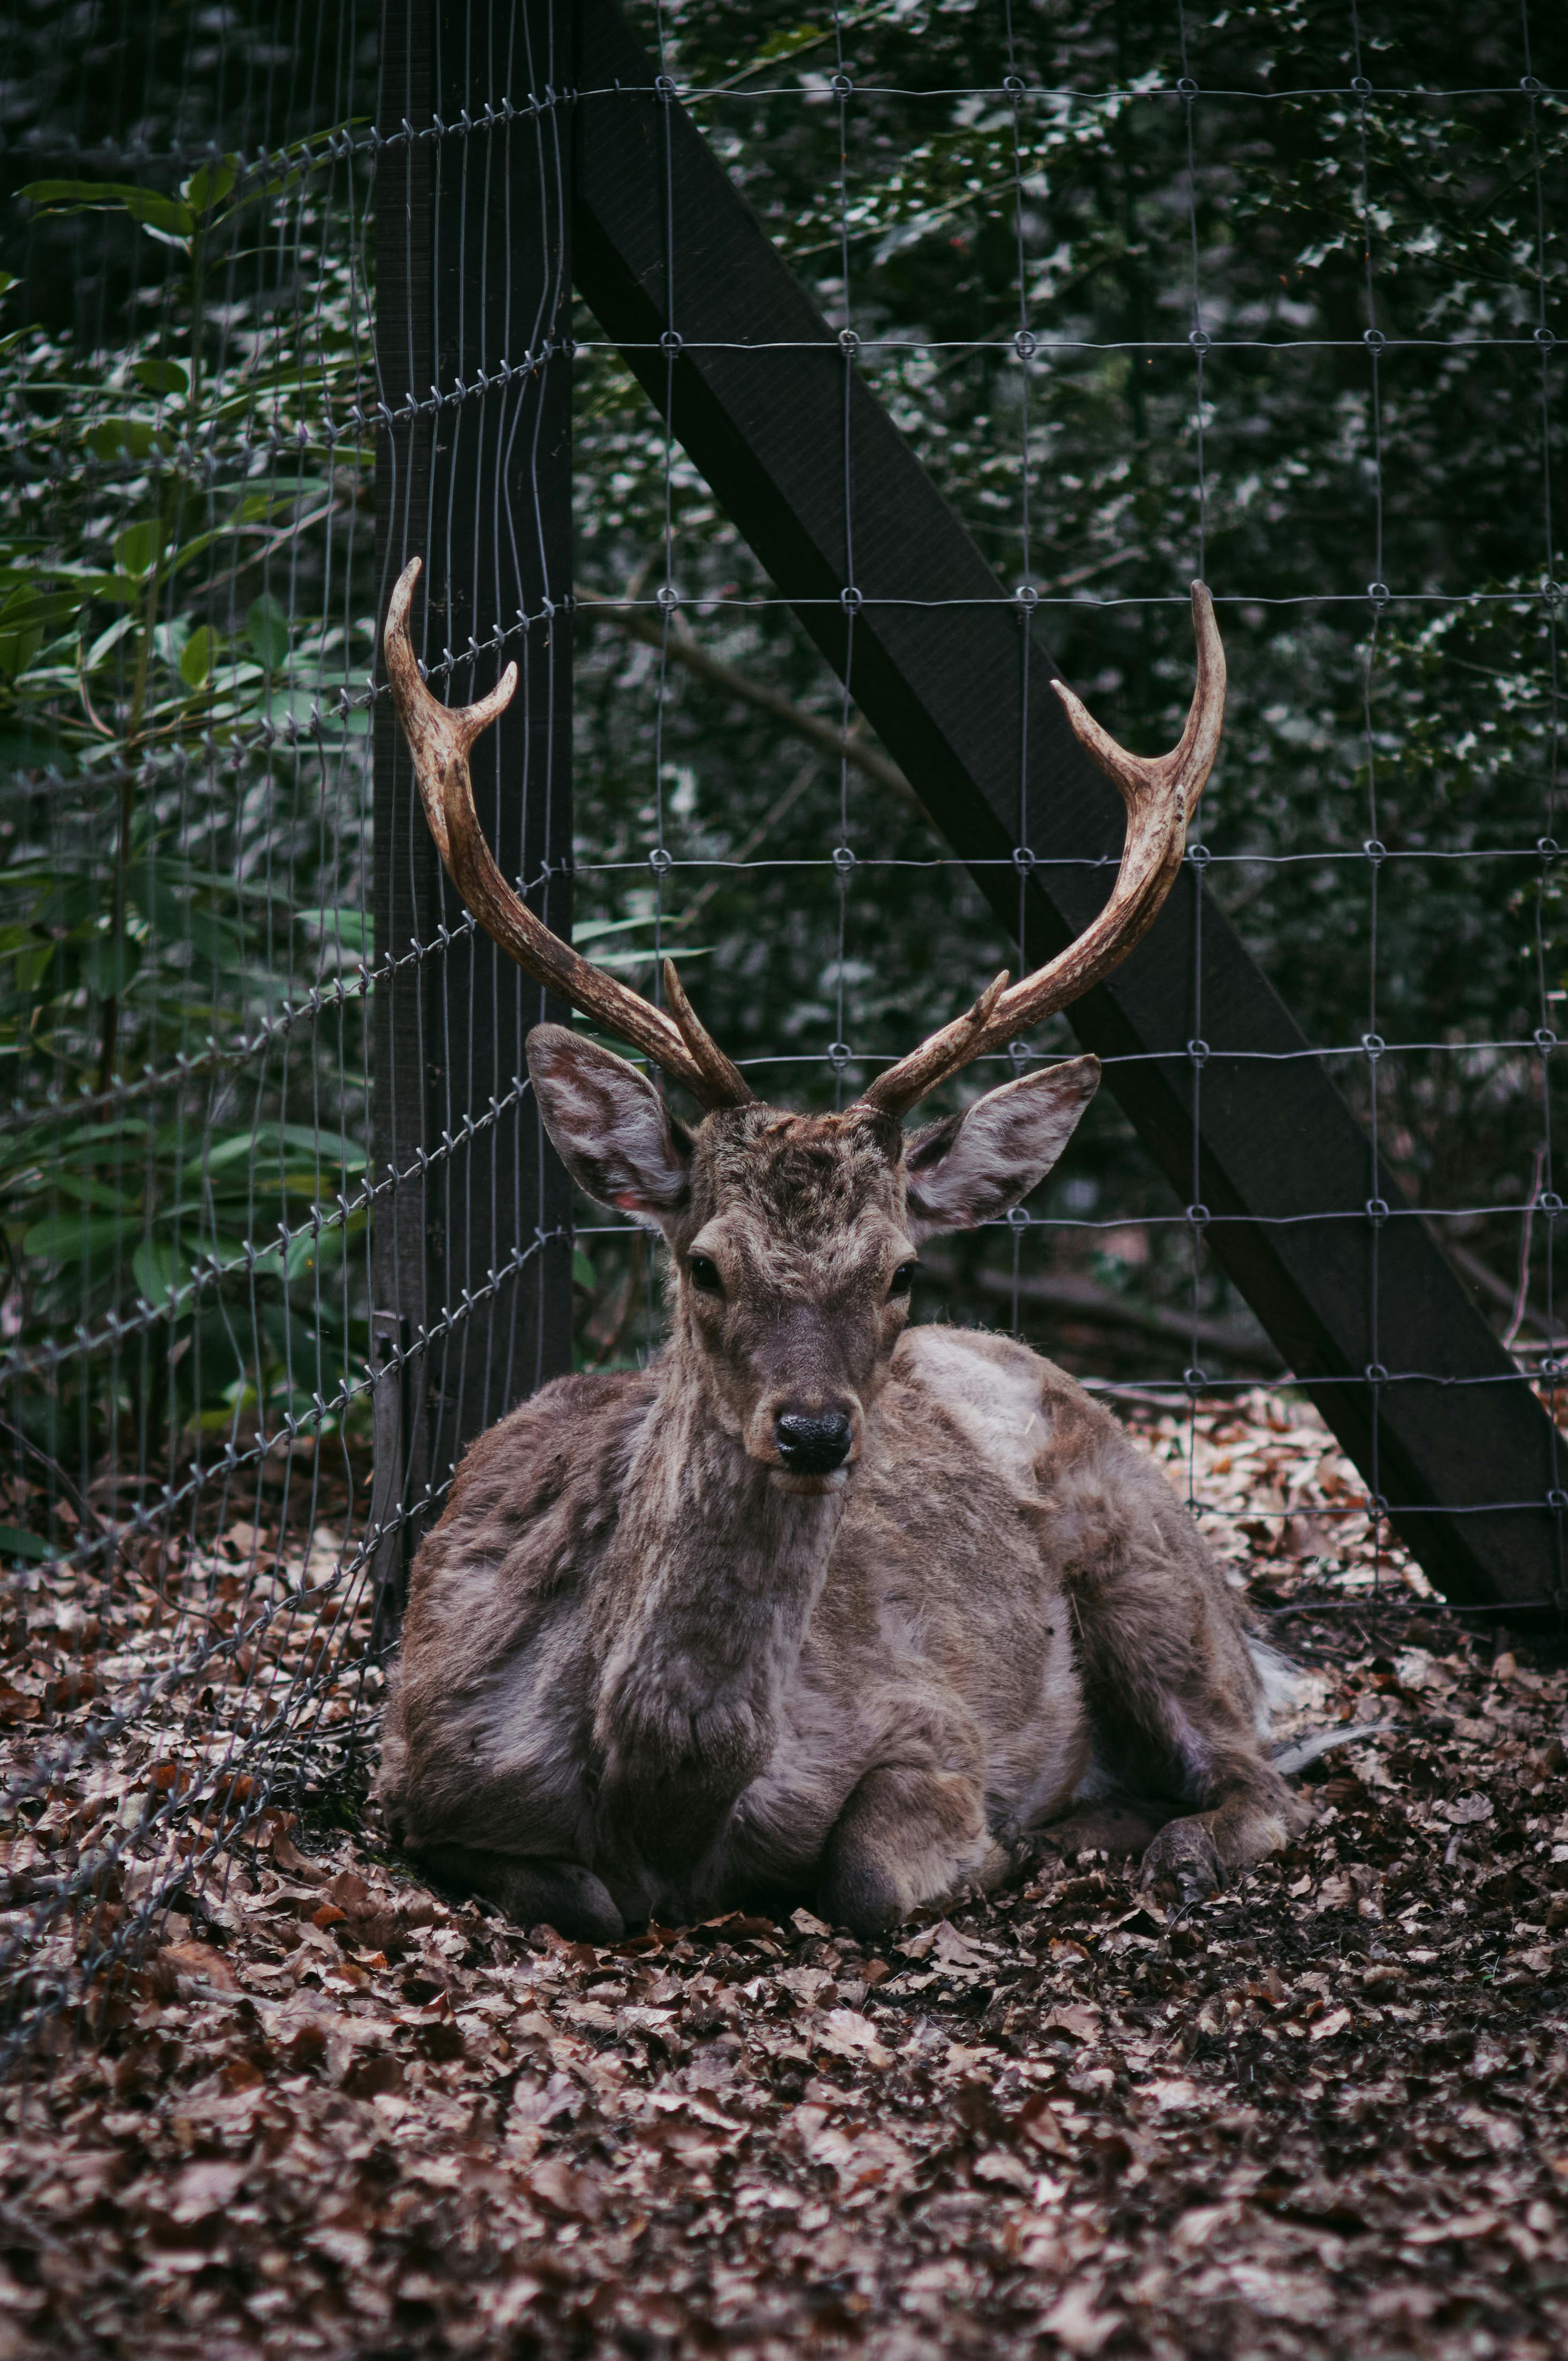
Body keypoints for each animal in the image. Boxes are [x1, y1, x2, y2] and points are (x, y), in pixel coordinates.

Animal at [373, 558, 1298, 1943]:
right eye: (703, 1261)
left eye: (899, 1268)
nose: (813, 1429)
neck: (662, 1790)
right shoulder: (414, 1774)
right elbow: (575, 1895)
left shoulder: (930, 1722)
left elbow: (861, 1874)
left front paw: (996, 1852)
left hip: (1152, 1565)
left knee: (1255, 1780)